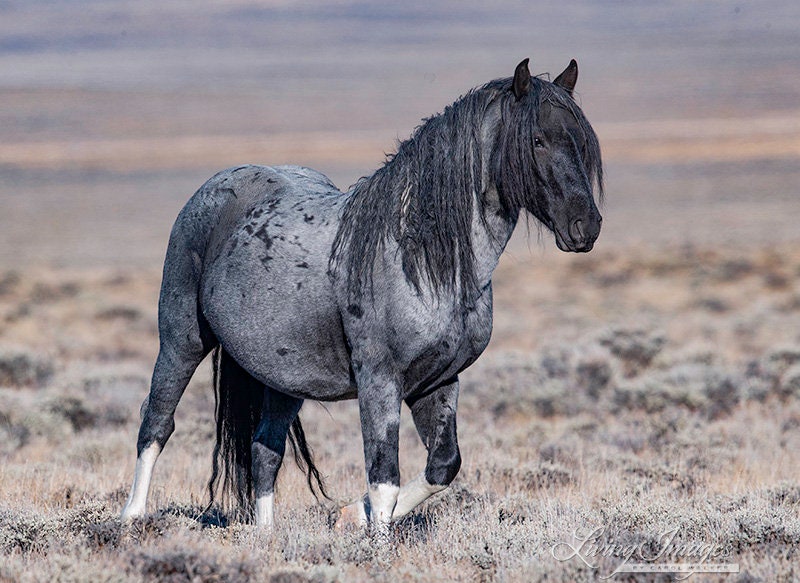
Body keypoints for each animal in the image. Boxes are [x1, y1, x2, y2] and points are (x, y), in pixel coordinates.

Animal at [120, 58, 603, 532]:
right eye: (537, 140)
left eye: (581, 141)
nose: (587, 226)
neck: (421, 258)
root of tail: (214, 188)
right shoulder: (379, 381)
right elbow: (384, 479)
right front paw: (366, 529)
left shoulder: (439, 381)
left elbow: (442, 466)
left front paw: (350, 514)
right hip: (182, 342)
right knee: (156, 423)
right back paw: (132, 518)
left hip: (281, 379)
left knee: (264, 450)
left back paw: (266, 535)